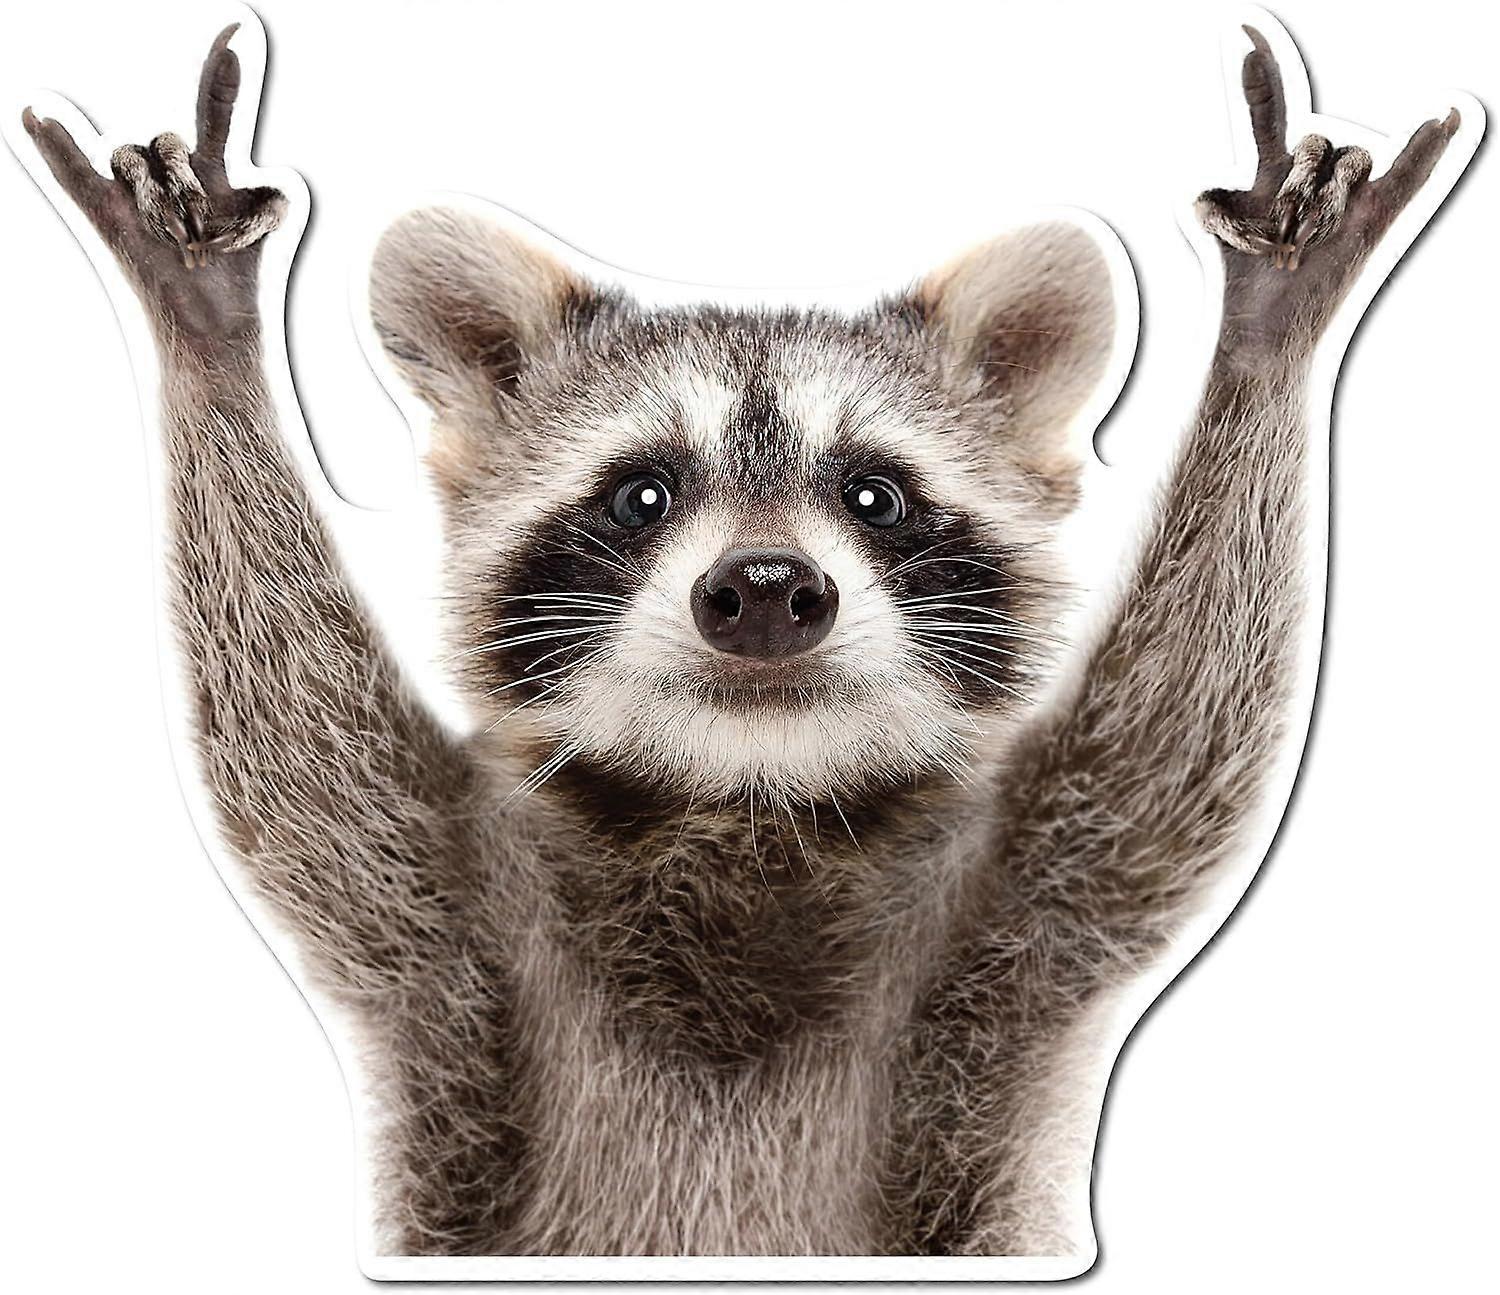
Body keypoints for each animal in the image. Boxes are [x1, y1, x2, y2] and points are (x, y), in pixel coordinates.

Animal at [19, 18, 1469, 1262]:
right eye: (642, 493)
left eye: (874, 494)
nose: (767, 589)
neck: (746, 794)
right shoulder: (449, 915)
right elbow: (292, 746)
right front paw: (206, 334)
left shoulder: (1021, 913)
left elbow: (1173, 748)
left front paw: (1269, 336)